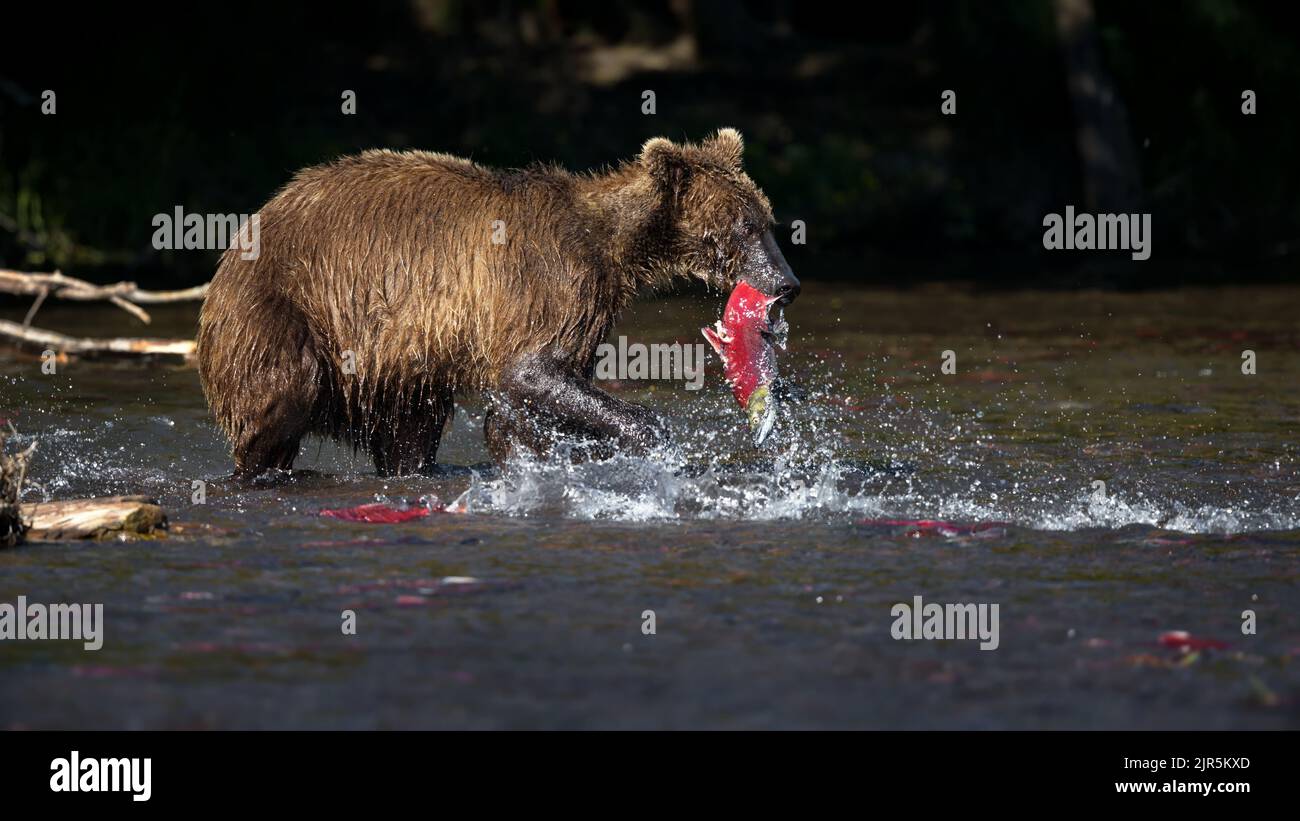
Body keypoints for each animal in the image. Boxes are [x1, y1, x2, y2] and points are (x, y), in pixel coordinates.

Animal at [196, 128, 800, 481]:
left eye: (767, 220)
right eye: (744, 227)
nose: (787, 282)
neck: (615, 245)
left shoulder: (589, 307)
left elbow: (535, 397)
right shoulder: (549, 282)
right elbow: (528, 370)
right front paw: (649, 441)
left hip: (394, 368)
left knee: (411, 429)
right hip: (284, 314)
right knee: (280, 398)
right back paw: (260, 468)